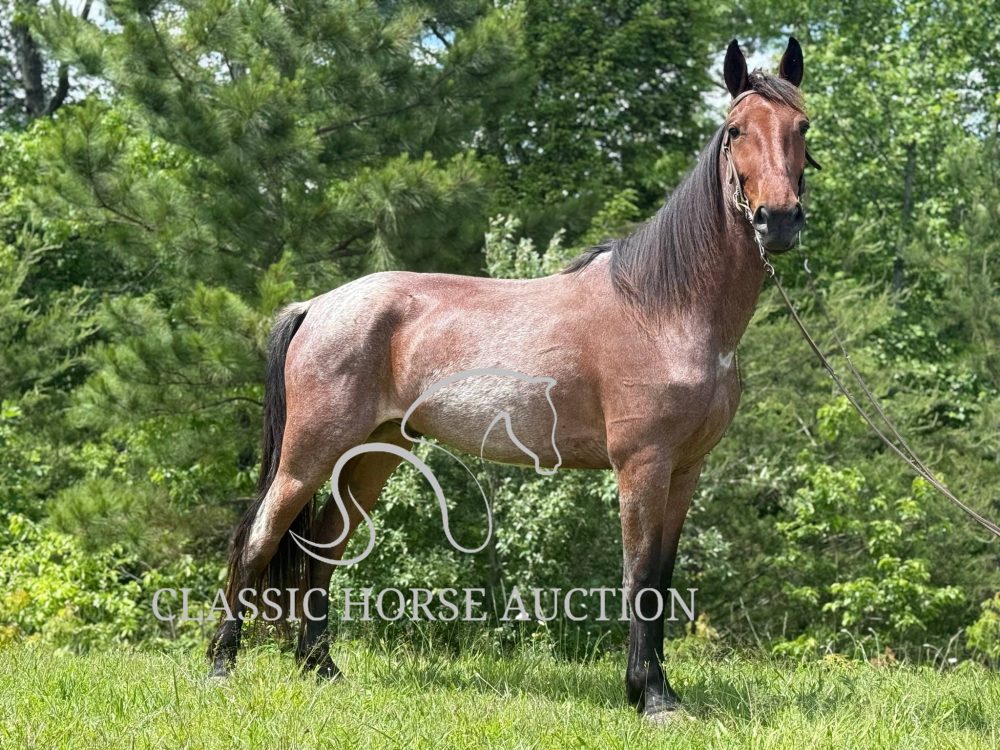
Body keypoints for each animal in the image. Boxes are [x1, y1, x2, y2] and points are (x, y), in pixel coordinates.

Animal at [209, 36, 815, 722]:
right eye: (735, 130)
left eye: (801, 127)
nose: (778, 221)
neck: (665, 309)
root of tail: (316, 306)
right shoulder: (642, 464)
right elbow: (638, 578)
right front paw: (651, 695)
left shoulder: (686, 470)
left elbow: (661, 578)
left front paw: (658, 689)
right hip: (310, 452)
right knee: (258, 537)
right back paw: (222, 666)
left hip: (372, 454)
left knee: (326, 547)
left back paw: (322, 669)